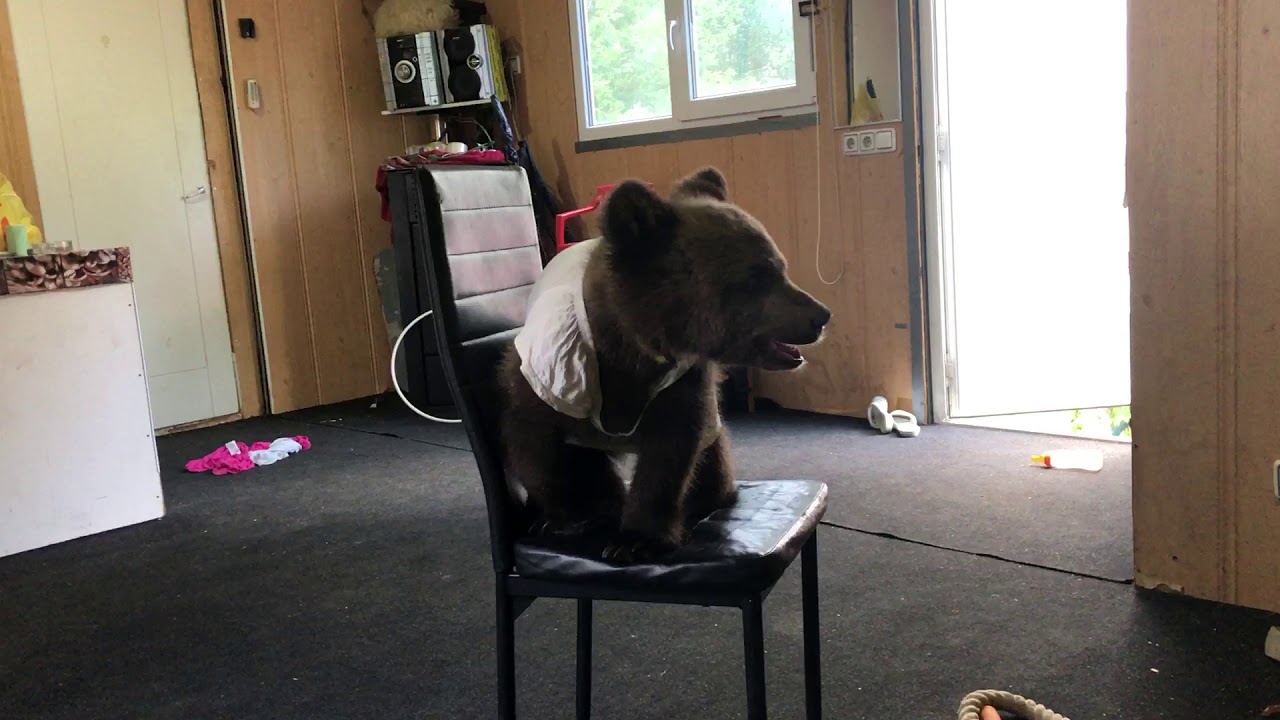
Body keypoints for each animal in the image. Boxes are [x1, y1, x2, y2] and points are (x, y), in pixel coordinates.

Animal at [496, 166, 831, 563]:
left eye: (780, 267)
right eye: (756, 277)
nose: (821, 315)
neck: (633, 345)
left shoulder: (681, 383)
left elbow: (670, 455)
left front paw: (637, 538)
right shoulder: (551, 376)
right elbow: (535, 445)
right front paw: (565, 512)